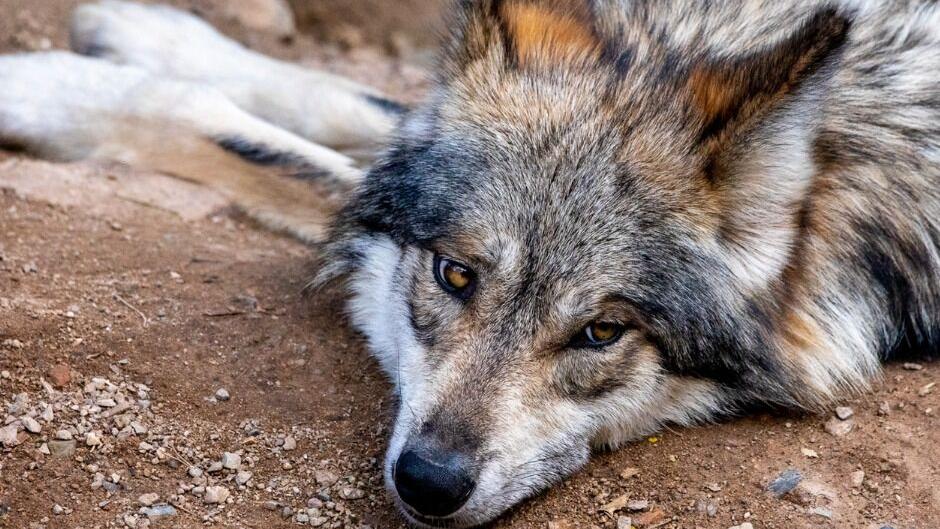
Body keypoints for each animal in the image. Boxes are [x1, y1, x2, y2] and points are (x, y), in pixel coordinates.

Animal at [0, 0, 938, 526]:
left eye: (602, 332)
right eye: (456, 274)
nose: (428, 483)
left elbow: (242, 136)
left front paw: (44, 88)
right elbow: (352, 101)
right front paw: (148, 33)